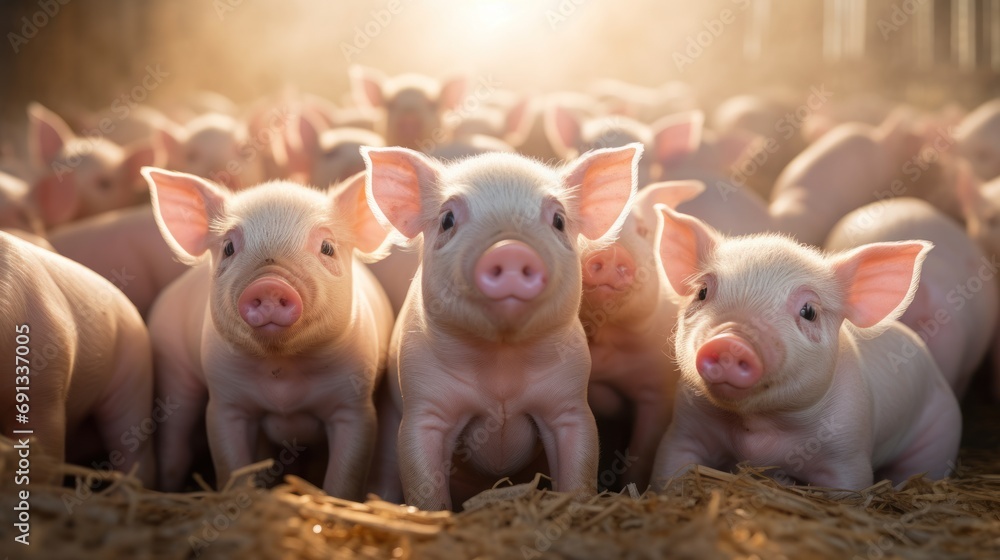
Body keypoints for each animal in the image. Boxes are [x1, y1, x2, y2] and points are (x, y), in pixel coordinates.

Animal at [144, 169, 393, 499]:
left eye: (327, 247)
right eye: (228, 248)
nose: (270, 285)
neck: (282, 373)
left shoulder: (354, 405)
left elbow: (344, 478)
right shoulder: (226, 404)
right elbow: (232, 466)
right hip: (172, 367)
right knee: (175, 444)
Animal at [364, 143, 642, 510]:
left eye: (558, 220)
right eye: (447, 219)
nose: (510, 250)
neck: (501, 370)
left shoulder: (570, 403)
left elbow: (578, 471)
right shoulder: (423, 405)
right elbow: (424, 483)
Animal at [651, 206, 961, 489]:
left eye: (809, 311)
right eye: (702, 292)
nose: (731, 341)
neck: (757, 428)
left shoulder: (847, 454)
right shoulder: (684, 429)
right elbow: (669, 471)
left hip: (941, 431)